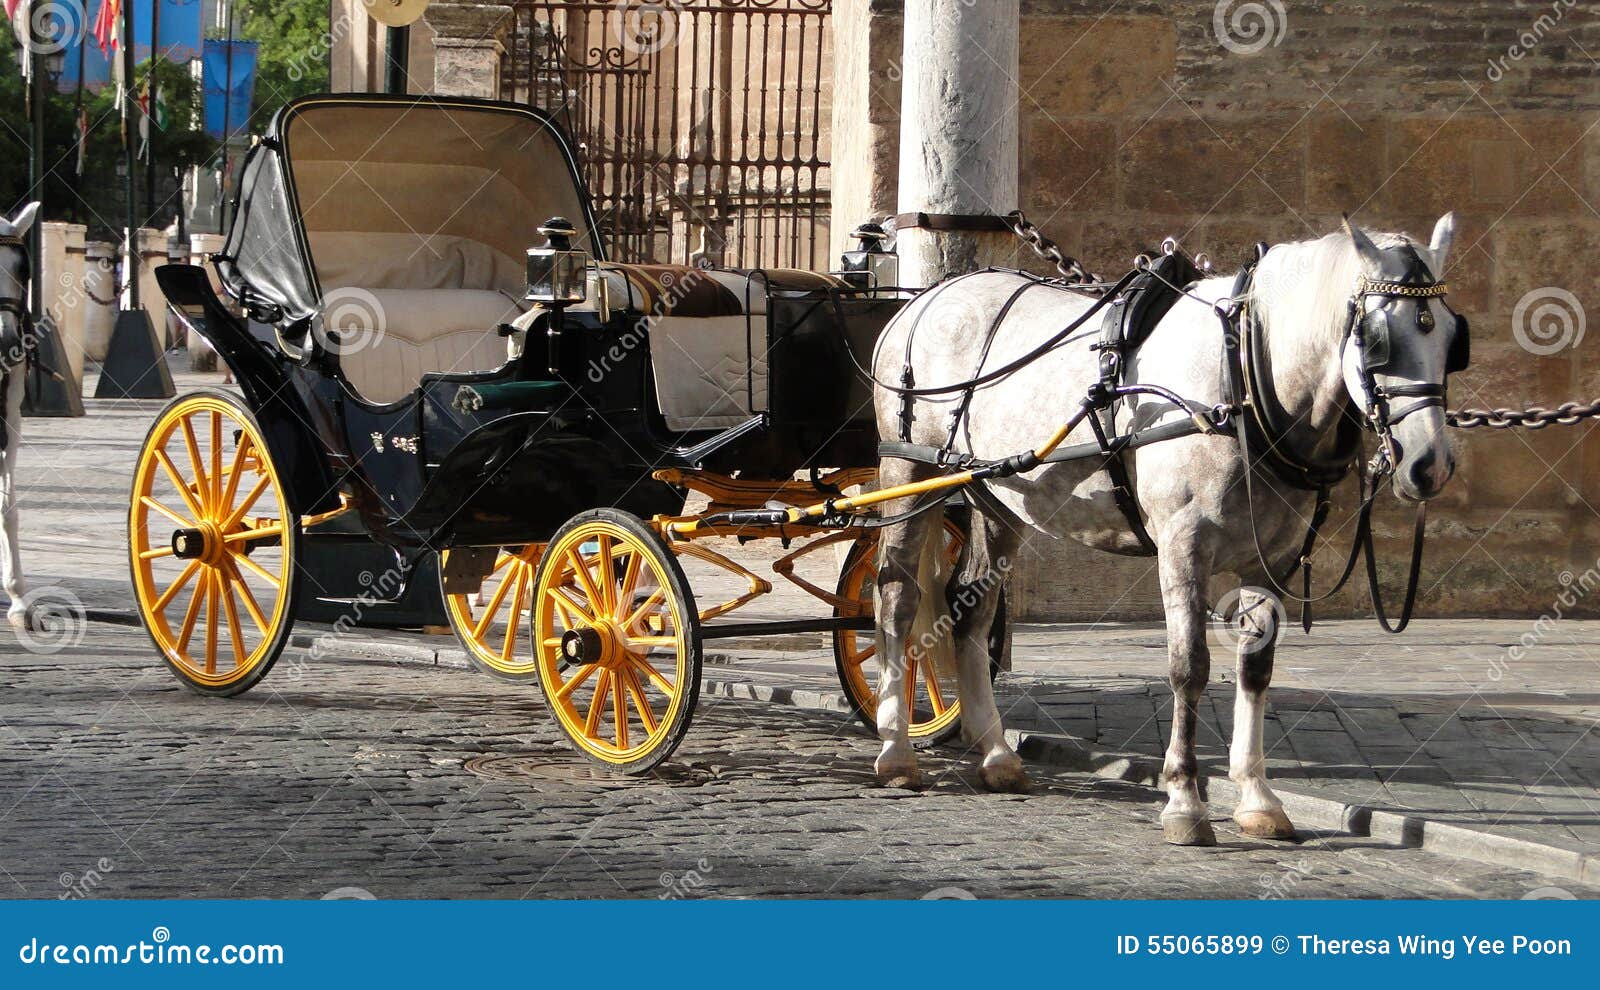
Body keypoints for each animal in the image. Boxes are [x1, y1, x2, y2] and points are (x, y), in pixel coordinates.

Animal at [870, 214, 1464, 846]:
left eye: (1454, 339)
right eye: (1376, 338)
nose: (1429, 464)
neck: (1241, 378)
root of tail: (924, 299)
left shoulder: (1270, 557)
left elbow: (1255, 667)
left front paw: (1257, 798)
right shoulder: (1183, 544)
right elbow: (1189, 667)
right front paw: (1184, 799)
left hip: (995, 493)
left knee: (971, 606)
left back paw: (996, 754)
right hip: (910, 471)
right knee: (898, 599)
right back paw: (896, 749)